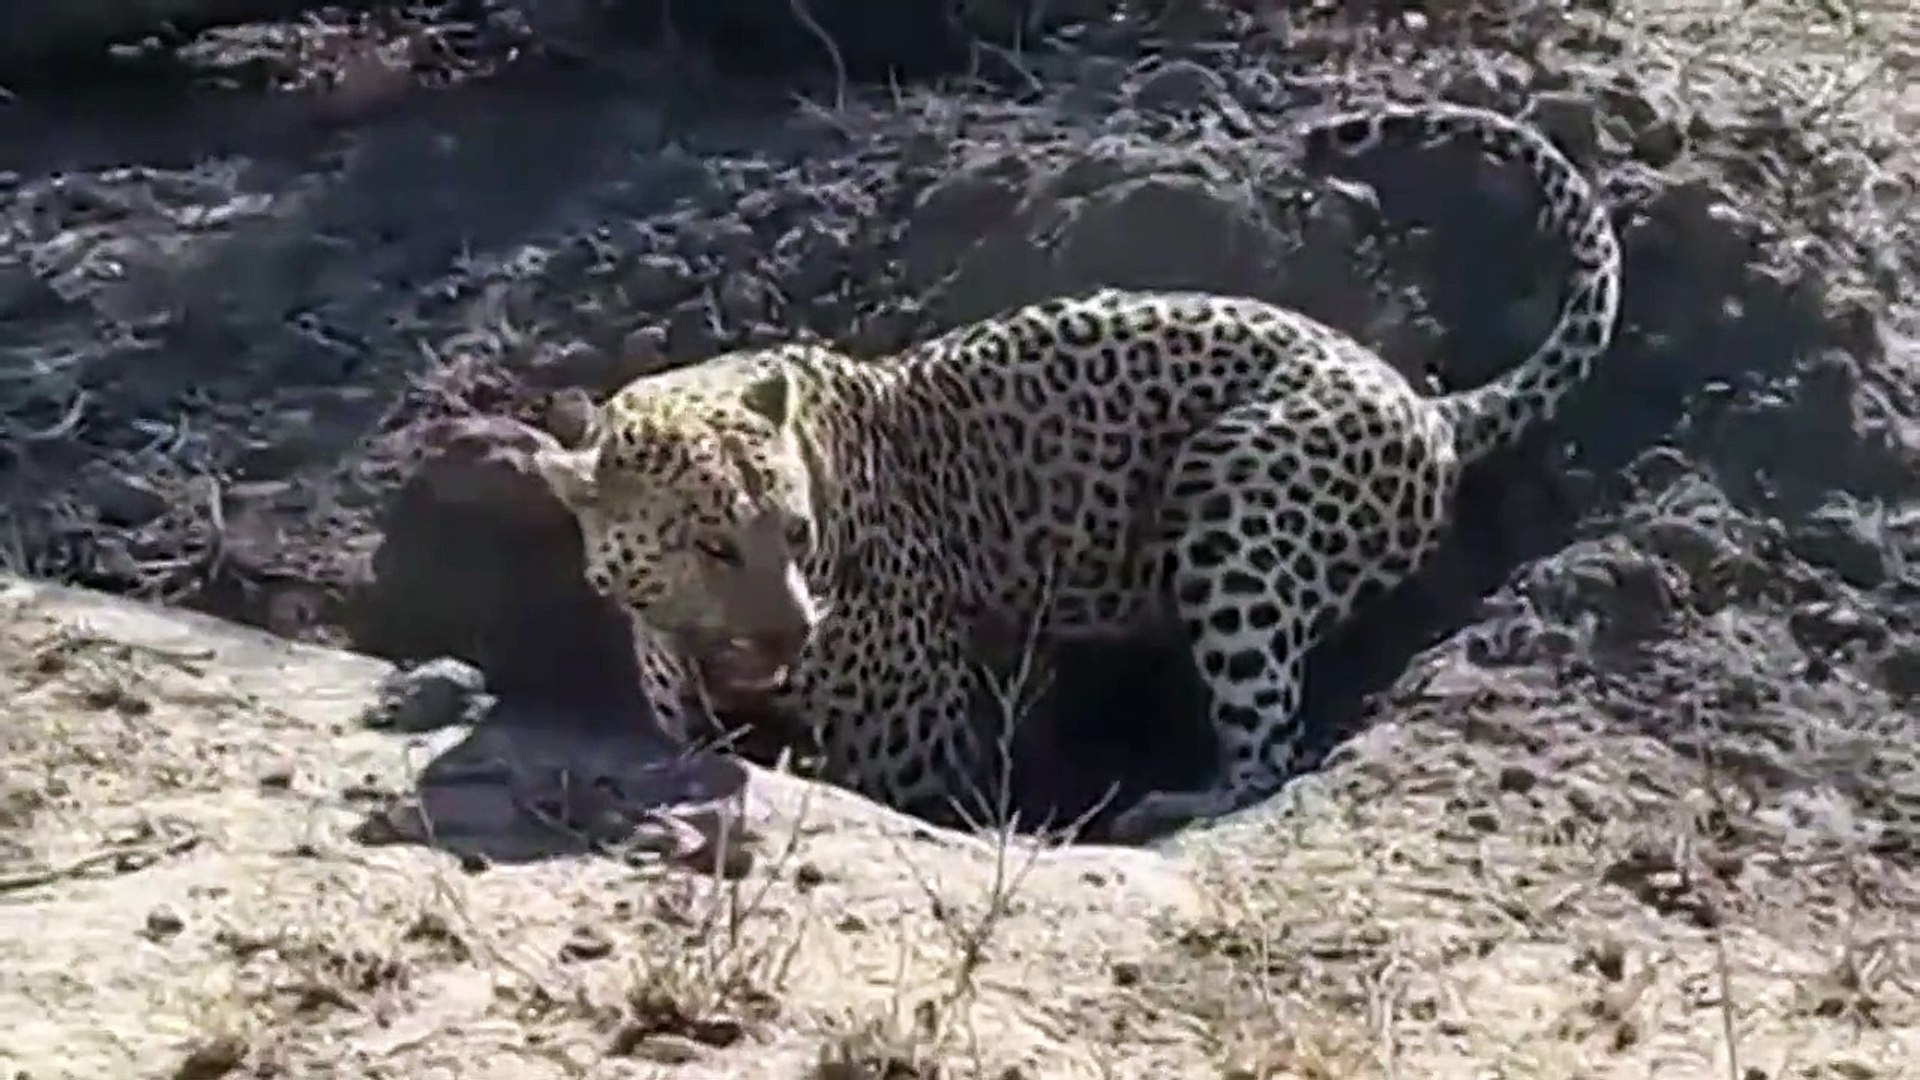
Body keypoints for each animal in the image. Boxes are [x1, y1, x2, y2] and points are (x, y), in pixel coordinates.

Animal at [534, 100, 1623, 842]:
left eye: (797, 534)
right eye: (714, 547)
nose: (798, 630)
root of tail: (1424, 402)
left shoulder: (916, 757)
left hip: (1236, 492)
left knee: (1269, 751)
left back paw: (1173, 806)